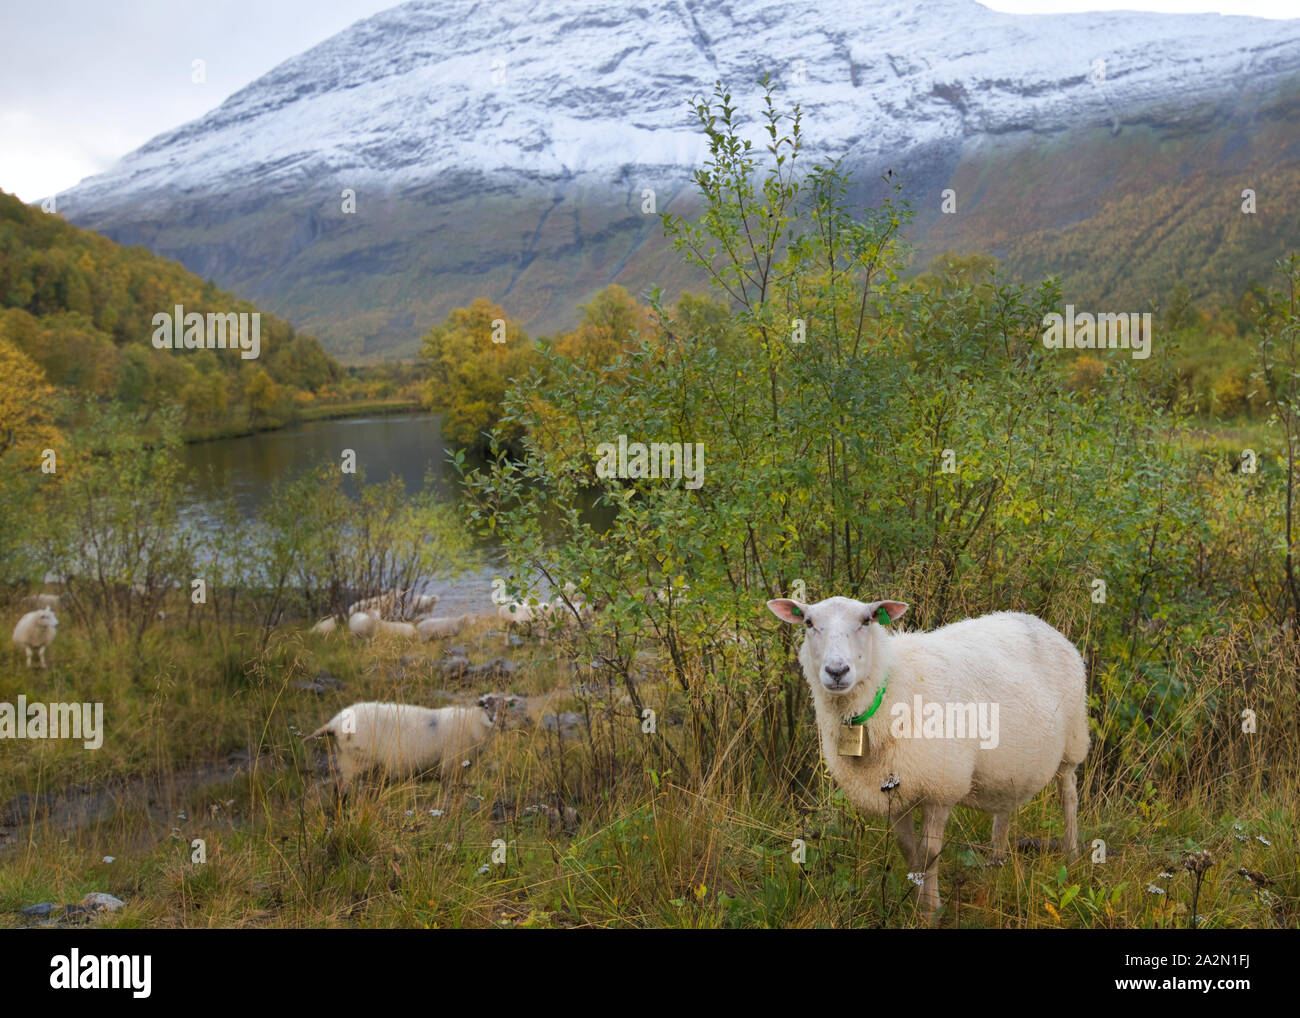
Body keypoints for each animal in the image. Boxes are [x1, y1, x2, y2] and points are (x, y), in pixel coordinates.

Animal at [305, 693, 515, 784]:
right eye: (486, 706)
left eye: (506, 707)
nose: (497, 722)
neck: (472, 723)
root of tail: (334, 722)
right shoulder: (450, 767)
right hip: (355, 763)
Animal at [767, 596, 1089, 916]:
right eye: (808, 622)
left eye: (867, 620)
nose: (836, 671)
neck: (890, 689)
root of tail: (1035, 620)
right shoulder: (892, 791)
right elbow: (909, 850)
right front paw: (917, 902)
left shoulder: (940, 788)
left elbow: (929, 852)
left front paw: (931, 909)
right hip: (1007, 765)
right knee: (1005, 807)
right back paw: (995, 861)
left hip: (1072, 740)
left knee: (1069, 795)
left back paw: (1072, 854)